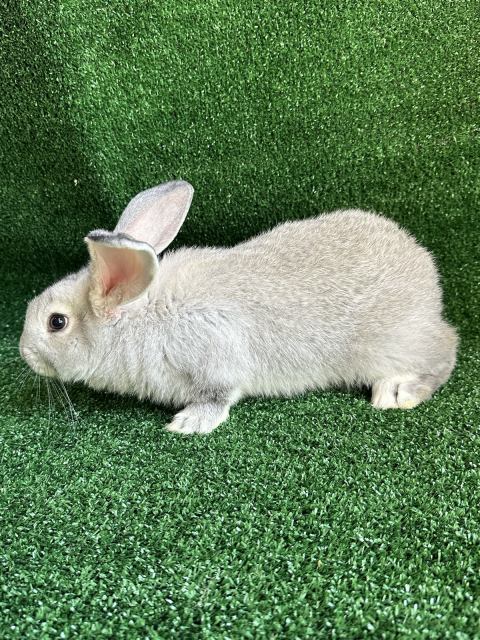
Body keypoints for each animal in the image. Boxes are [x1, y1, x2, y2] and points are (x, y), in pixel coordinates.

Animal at [19, 180, 458, 434]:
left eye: (56, 322)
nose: (23, 351)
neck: (139, 314)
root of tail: (428, 276)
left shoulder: (215, 358)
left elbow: (219, 398)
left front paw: (187, 424)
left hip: (398, 342)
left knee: (445, 350)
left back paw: (398, 392)